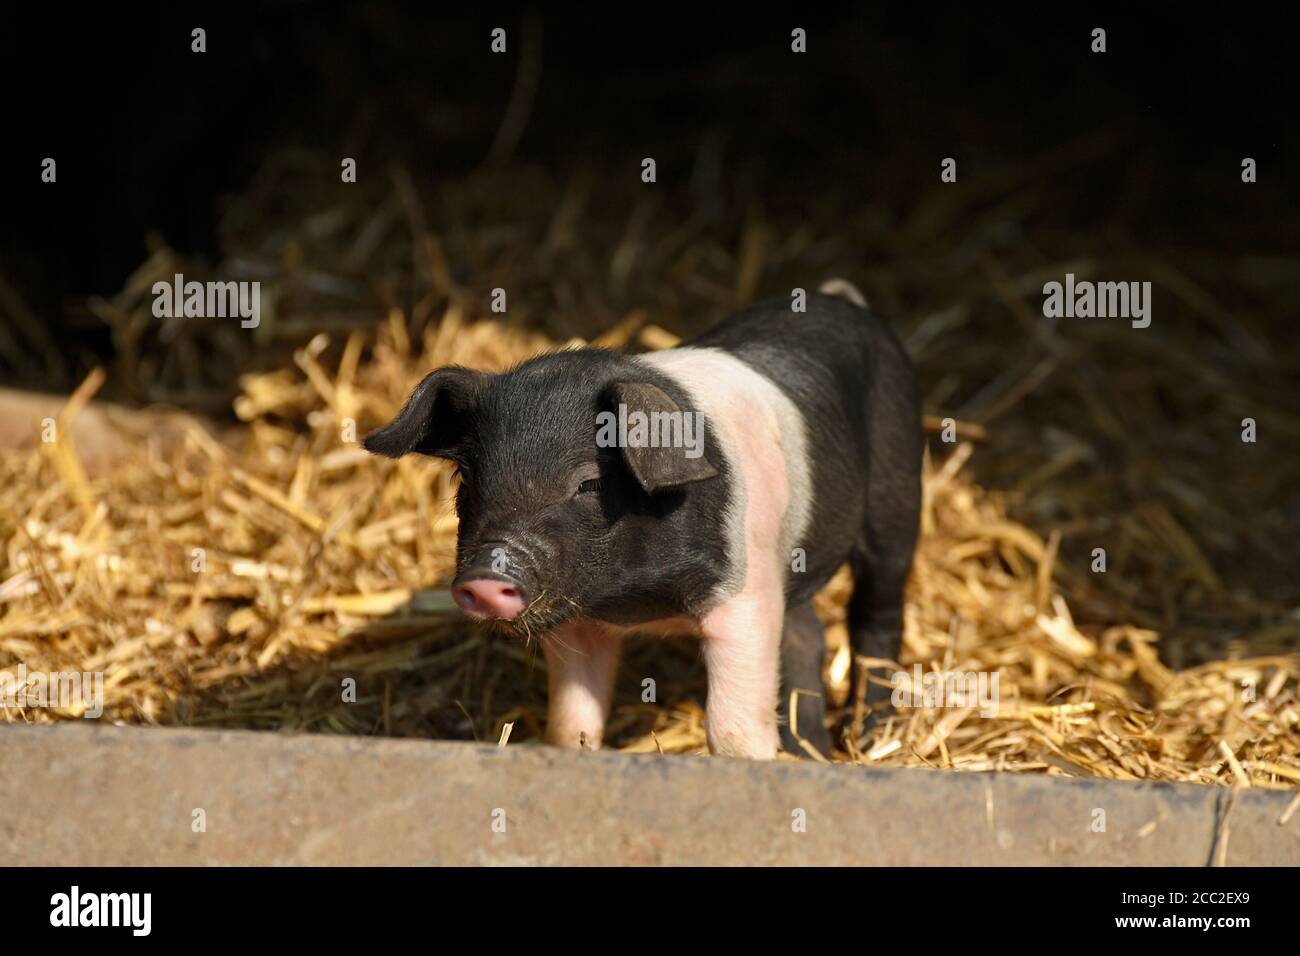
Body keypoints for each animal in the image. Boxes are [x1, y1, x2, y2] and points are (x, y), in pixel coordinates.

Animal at [363, 281, 922, 759]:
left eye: (590, 483)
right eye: (467, 477)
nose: (485, 574)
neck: (635, 601)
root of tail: (843, 299)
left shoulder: (746, 594)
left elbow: (733, 730)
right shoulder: (581, 621)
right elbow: (572, 726)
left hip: (896, 494)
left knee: (876, 617)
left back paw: (869, 739)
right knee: (808, 634)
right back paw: (814, 752)